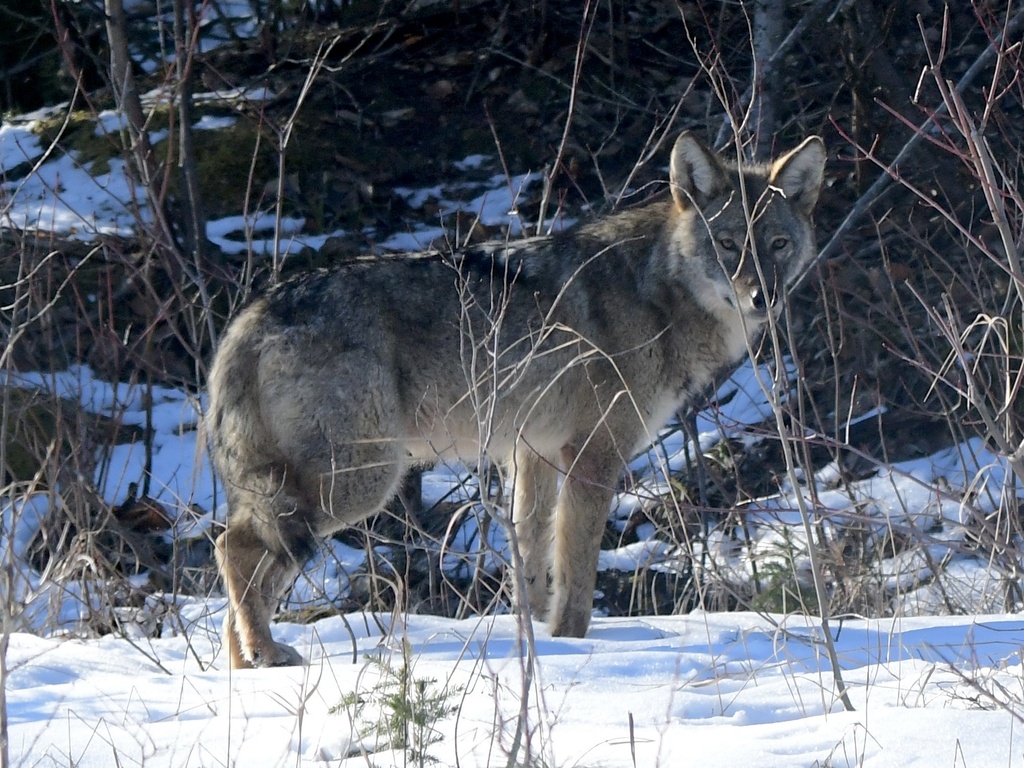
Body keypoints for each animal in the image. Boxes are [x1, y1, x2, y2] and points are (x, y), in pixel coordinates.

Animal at [207, 132, 826, 668]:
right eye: (728, 245)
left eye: (777, 244)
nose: (762, 296)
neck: (656, 293)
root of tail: (251, 316)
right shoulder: (593, 456)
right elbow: (576, 572)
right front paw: (573, 643)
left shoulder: (534, 455)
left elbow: (529, 564)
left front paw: (535, 645)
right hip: (360, 483)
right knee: (230, 548)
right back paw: (264, 654)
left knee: (237, 565)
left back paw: (244, 666)